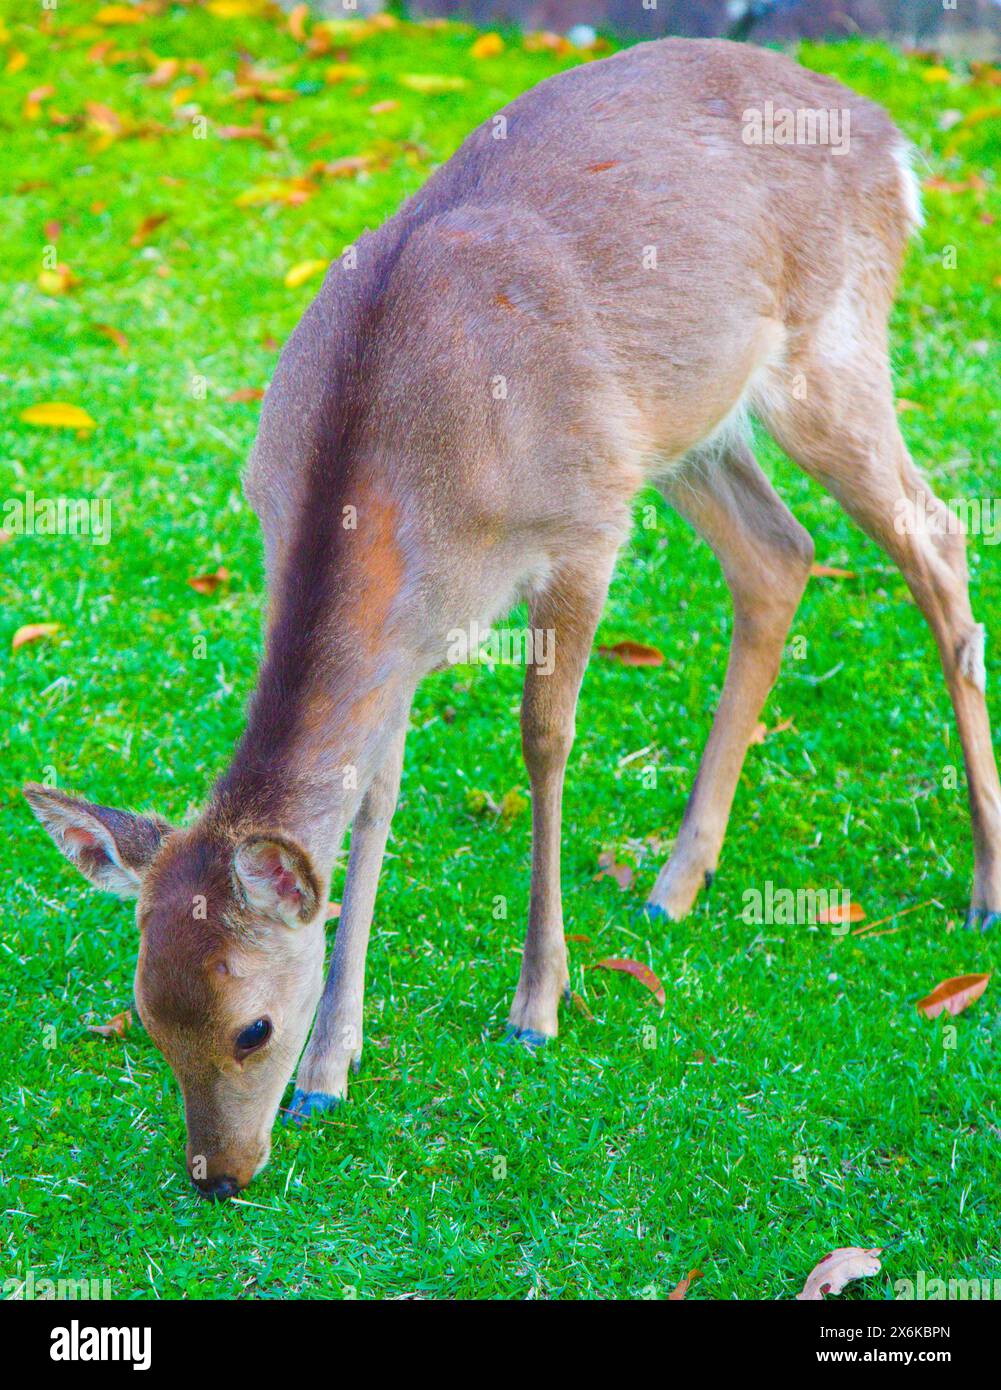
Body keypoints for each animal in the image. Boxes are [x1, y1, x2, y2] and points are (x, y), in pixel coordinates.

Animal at [24, 38, 1000, 1199]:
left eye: (250, 1027)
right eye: (147, 1016)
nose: (217, 1172)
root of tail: (892, 140)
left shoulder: (582, 528)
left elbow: (545, 739)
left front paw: (535, 1006)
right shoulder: (401, 630)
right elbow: (371, 802)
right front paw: (332, 1069)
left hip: (830, 351)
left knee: (937, 541)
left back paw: (983, 887)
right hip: (687, 427)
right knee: (778, 555)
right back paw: (673, 883)